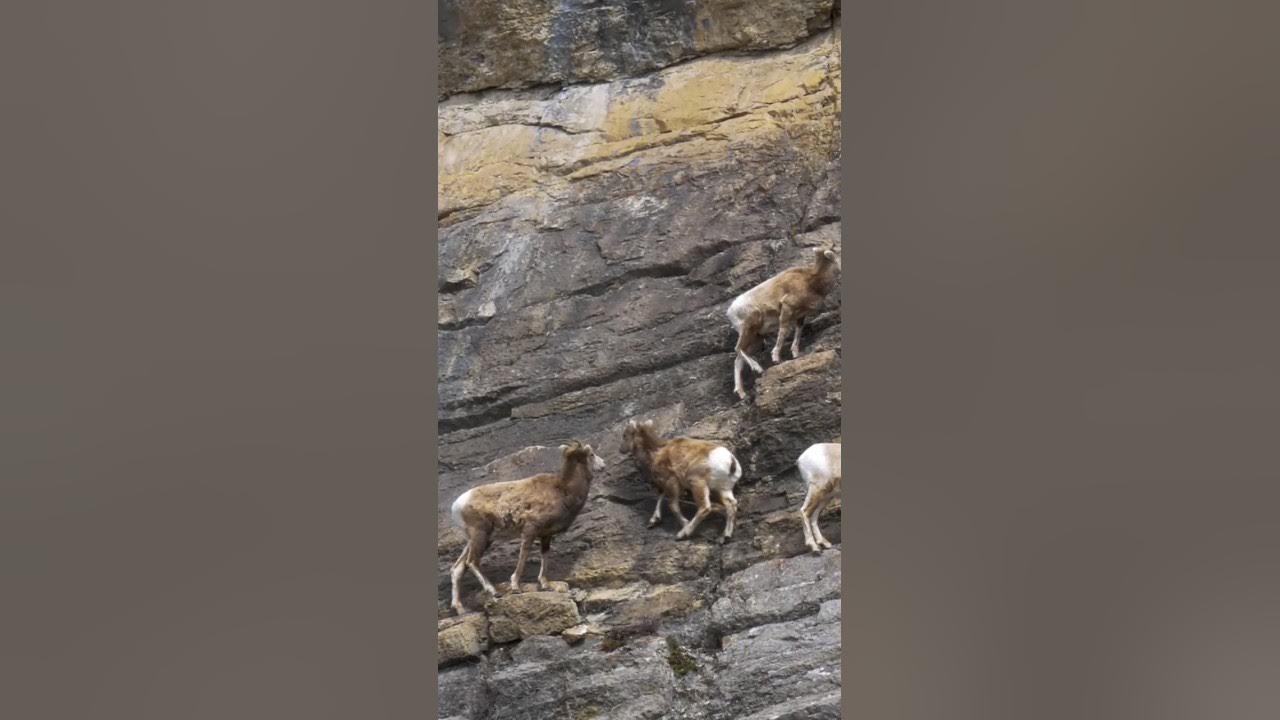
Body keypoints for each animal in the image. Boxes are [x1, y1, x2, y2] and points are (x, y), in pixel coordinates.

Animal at [448, 441, 606, 614]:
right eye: (591, 454)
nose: (603, 465)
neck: (563, 490)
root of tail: (457, 505)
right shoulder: (530, 530)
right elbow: (524, 554)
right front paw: (515, 587)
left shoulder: (546, 535)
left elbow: (545, 555)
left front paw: (545, 585)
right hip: (480, 534)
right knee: (471, 562)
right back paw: (494, 591)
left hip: (478, 540)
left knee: (457, 568)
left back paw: (460, 609)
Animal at [727, 247, 841, 399]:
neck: (810, 282)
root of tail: (730, 311)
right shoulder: (787, 309)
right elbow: (783, 332)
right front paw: (776, 358)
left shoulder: (800, 316)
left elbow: (798, 333)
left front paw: (795, 354)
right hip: (749, 327)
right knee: (737, 348)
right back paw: (758, 369)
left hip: (756, 338)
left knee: (738, 360)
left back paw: (742, 393)